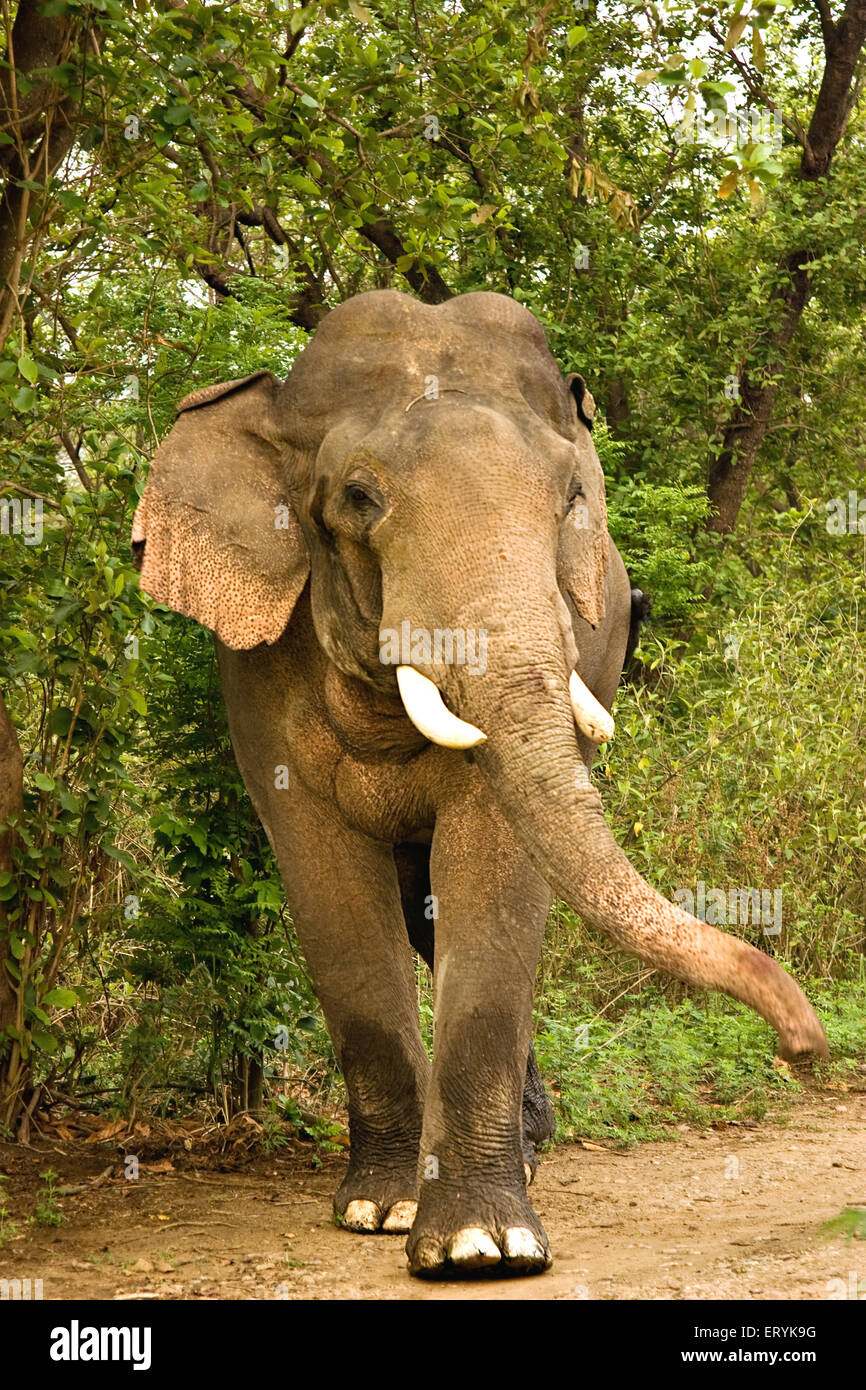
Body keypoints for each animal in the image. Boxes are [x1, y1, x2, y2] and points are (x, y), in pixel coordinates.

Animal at [131, 289, 828, 1279]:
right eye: (358, 498)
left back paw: (525, 1157)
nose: (805, 1044)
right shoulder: (257, 668)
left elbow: (495, 874)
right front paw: (379, 1211)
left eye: (573, 499)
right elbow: (329, 890)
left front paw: (484, 1246)